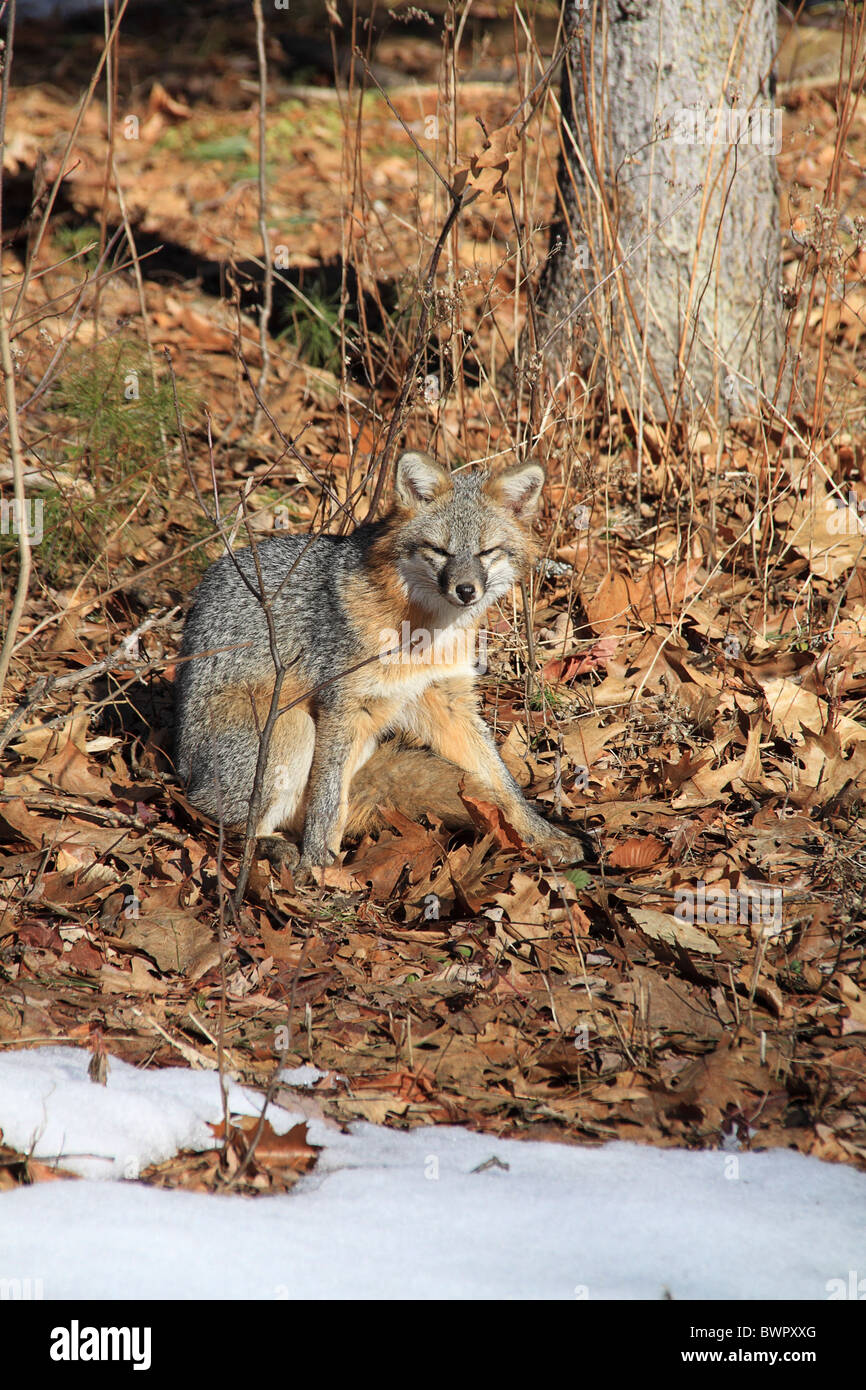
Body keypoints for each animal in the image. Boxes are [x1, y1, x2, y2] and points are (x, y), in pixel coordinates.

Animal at [174, 450, 584, 875]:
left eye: (487, 552)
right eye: (439, 550)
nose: (466, 591)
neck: (424, 635)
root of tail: (184, 772)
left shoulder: (444, 699)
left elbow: (502, 783)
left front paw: (543, 834)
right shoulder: (343, 705)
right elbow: (327, 800)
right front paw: (317, 865)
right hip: (293, 728)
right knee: (228, 823)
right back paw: (275, 848)